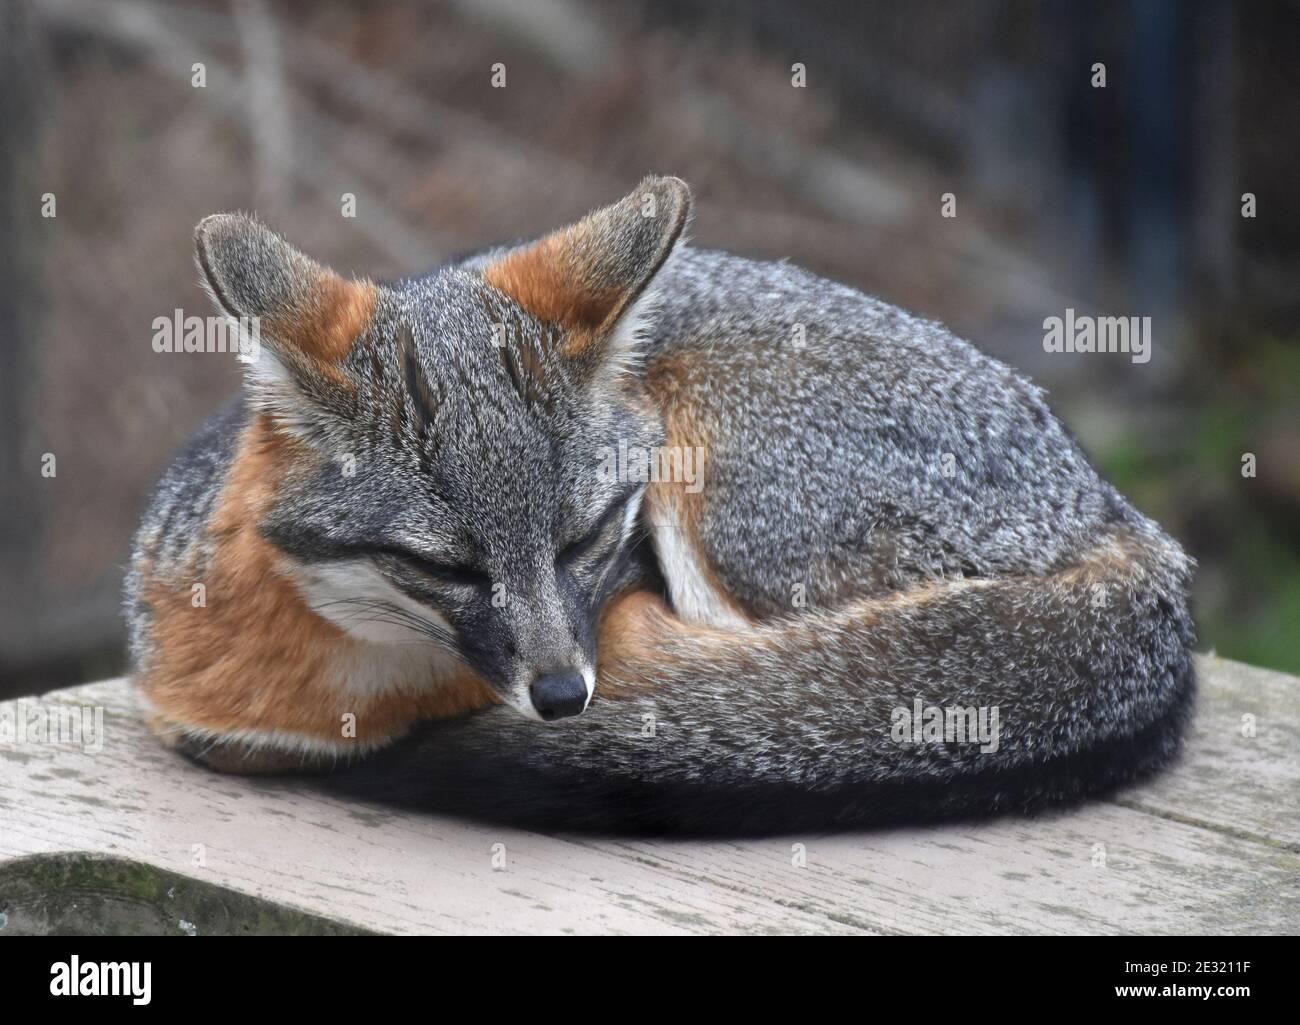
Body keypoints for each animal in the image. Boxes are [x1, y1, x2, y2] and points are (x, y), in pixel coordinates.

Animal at [125, 175, 1196, 834]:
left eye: (587, 538)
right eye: (443, 565)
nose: (565, 697)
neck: (365, 688)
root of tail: (1126, 521)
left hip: (717, 480)